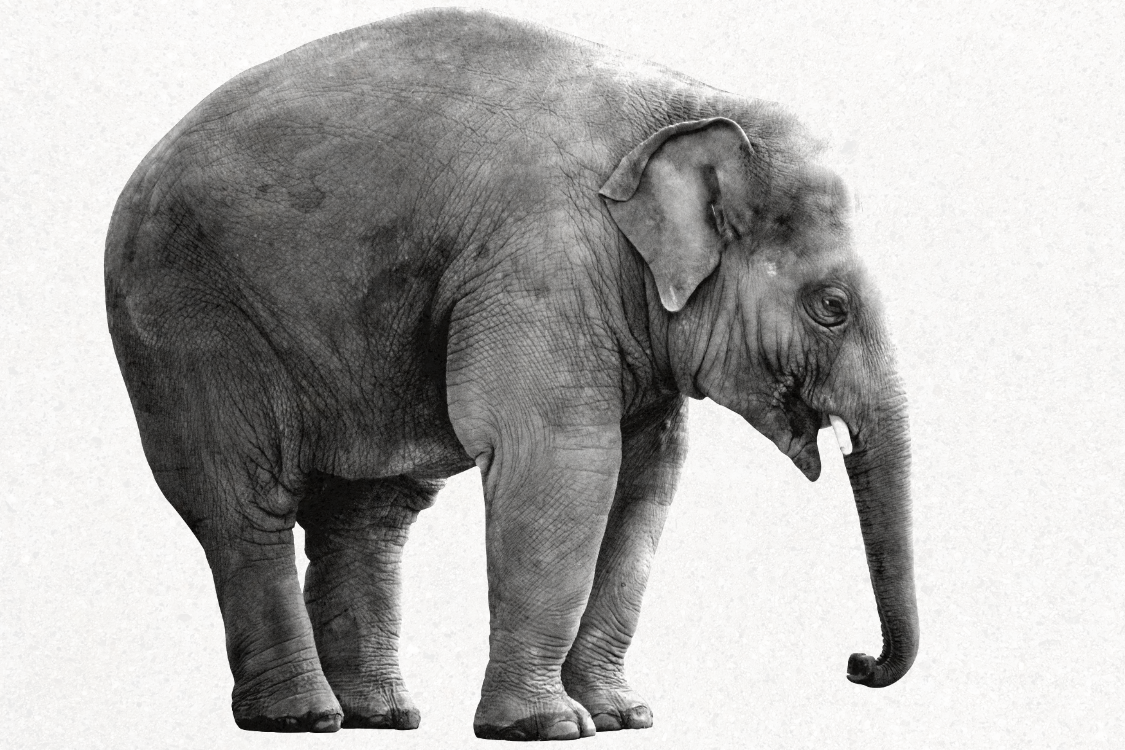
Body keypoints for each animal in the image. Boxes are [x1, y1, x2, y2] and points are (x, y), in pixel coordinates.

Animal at [105, 7, 917, 741]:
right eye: (832, 307)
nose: (856, 663)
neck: (687, 108)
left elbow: (645, 481)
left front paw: (622, 718)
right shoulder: (540, 261)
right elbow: (562, 461)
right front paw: (548, 727)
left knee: (371, 512)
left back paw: (380, 717)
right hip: (188, 320)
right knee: (245, 504)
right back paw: (301, 718)